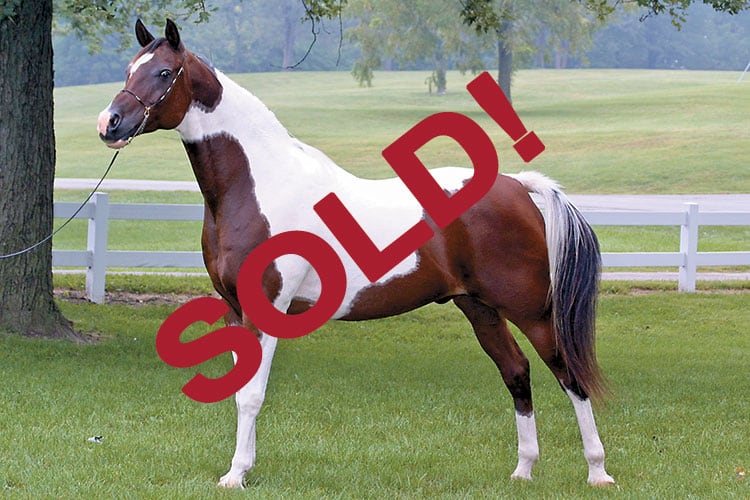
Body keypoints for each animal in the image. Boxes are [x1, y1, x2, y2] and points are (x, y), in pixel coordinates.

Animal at [97, 19, 614, 488]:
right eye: (128, 69)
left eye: (164, 72)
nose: (110, 124)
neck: (260, 183)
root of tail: (520, 187)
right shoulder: (234, 310)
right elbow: (241, 389)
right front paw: (242, 468)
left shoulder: (267, 309)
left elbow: (251, 395)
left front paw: (236, 475)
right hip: (479, 308)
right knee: (517, 372)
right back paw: (524, 470)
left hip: (530, 311)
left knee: (570, 376)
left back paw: (598, 472)